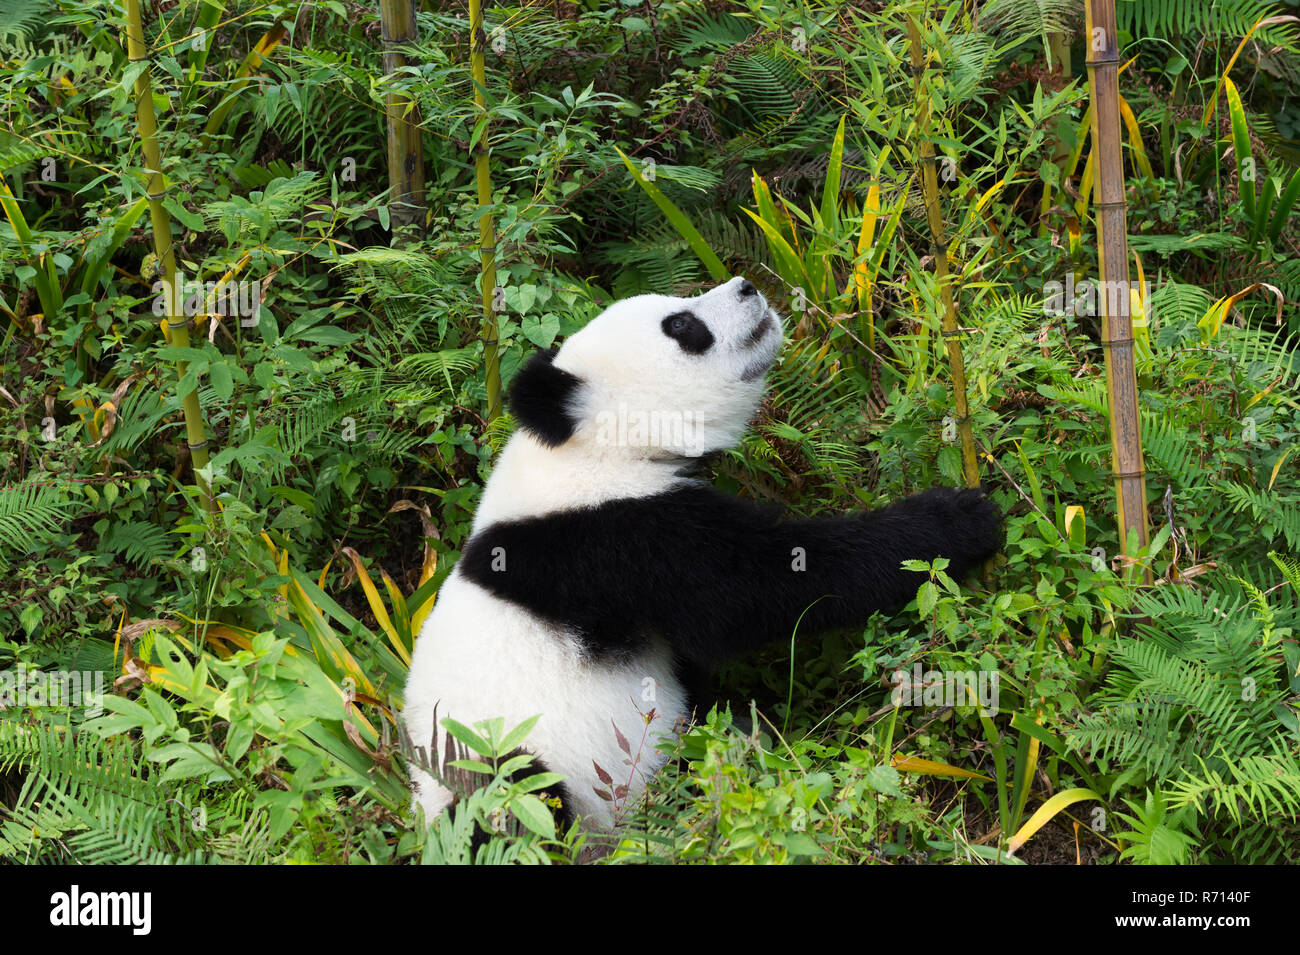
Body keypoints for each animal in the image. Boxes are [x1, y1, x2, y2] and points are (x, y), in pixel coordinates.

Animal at [402, 275, 1002, 833]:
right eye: (681, 326)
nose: (747, 286)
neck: (588, 447)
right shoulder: (611, 539)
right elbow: (764, 587)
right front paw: (961, 521)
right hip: (498, 774)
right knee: (514, 797)